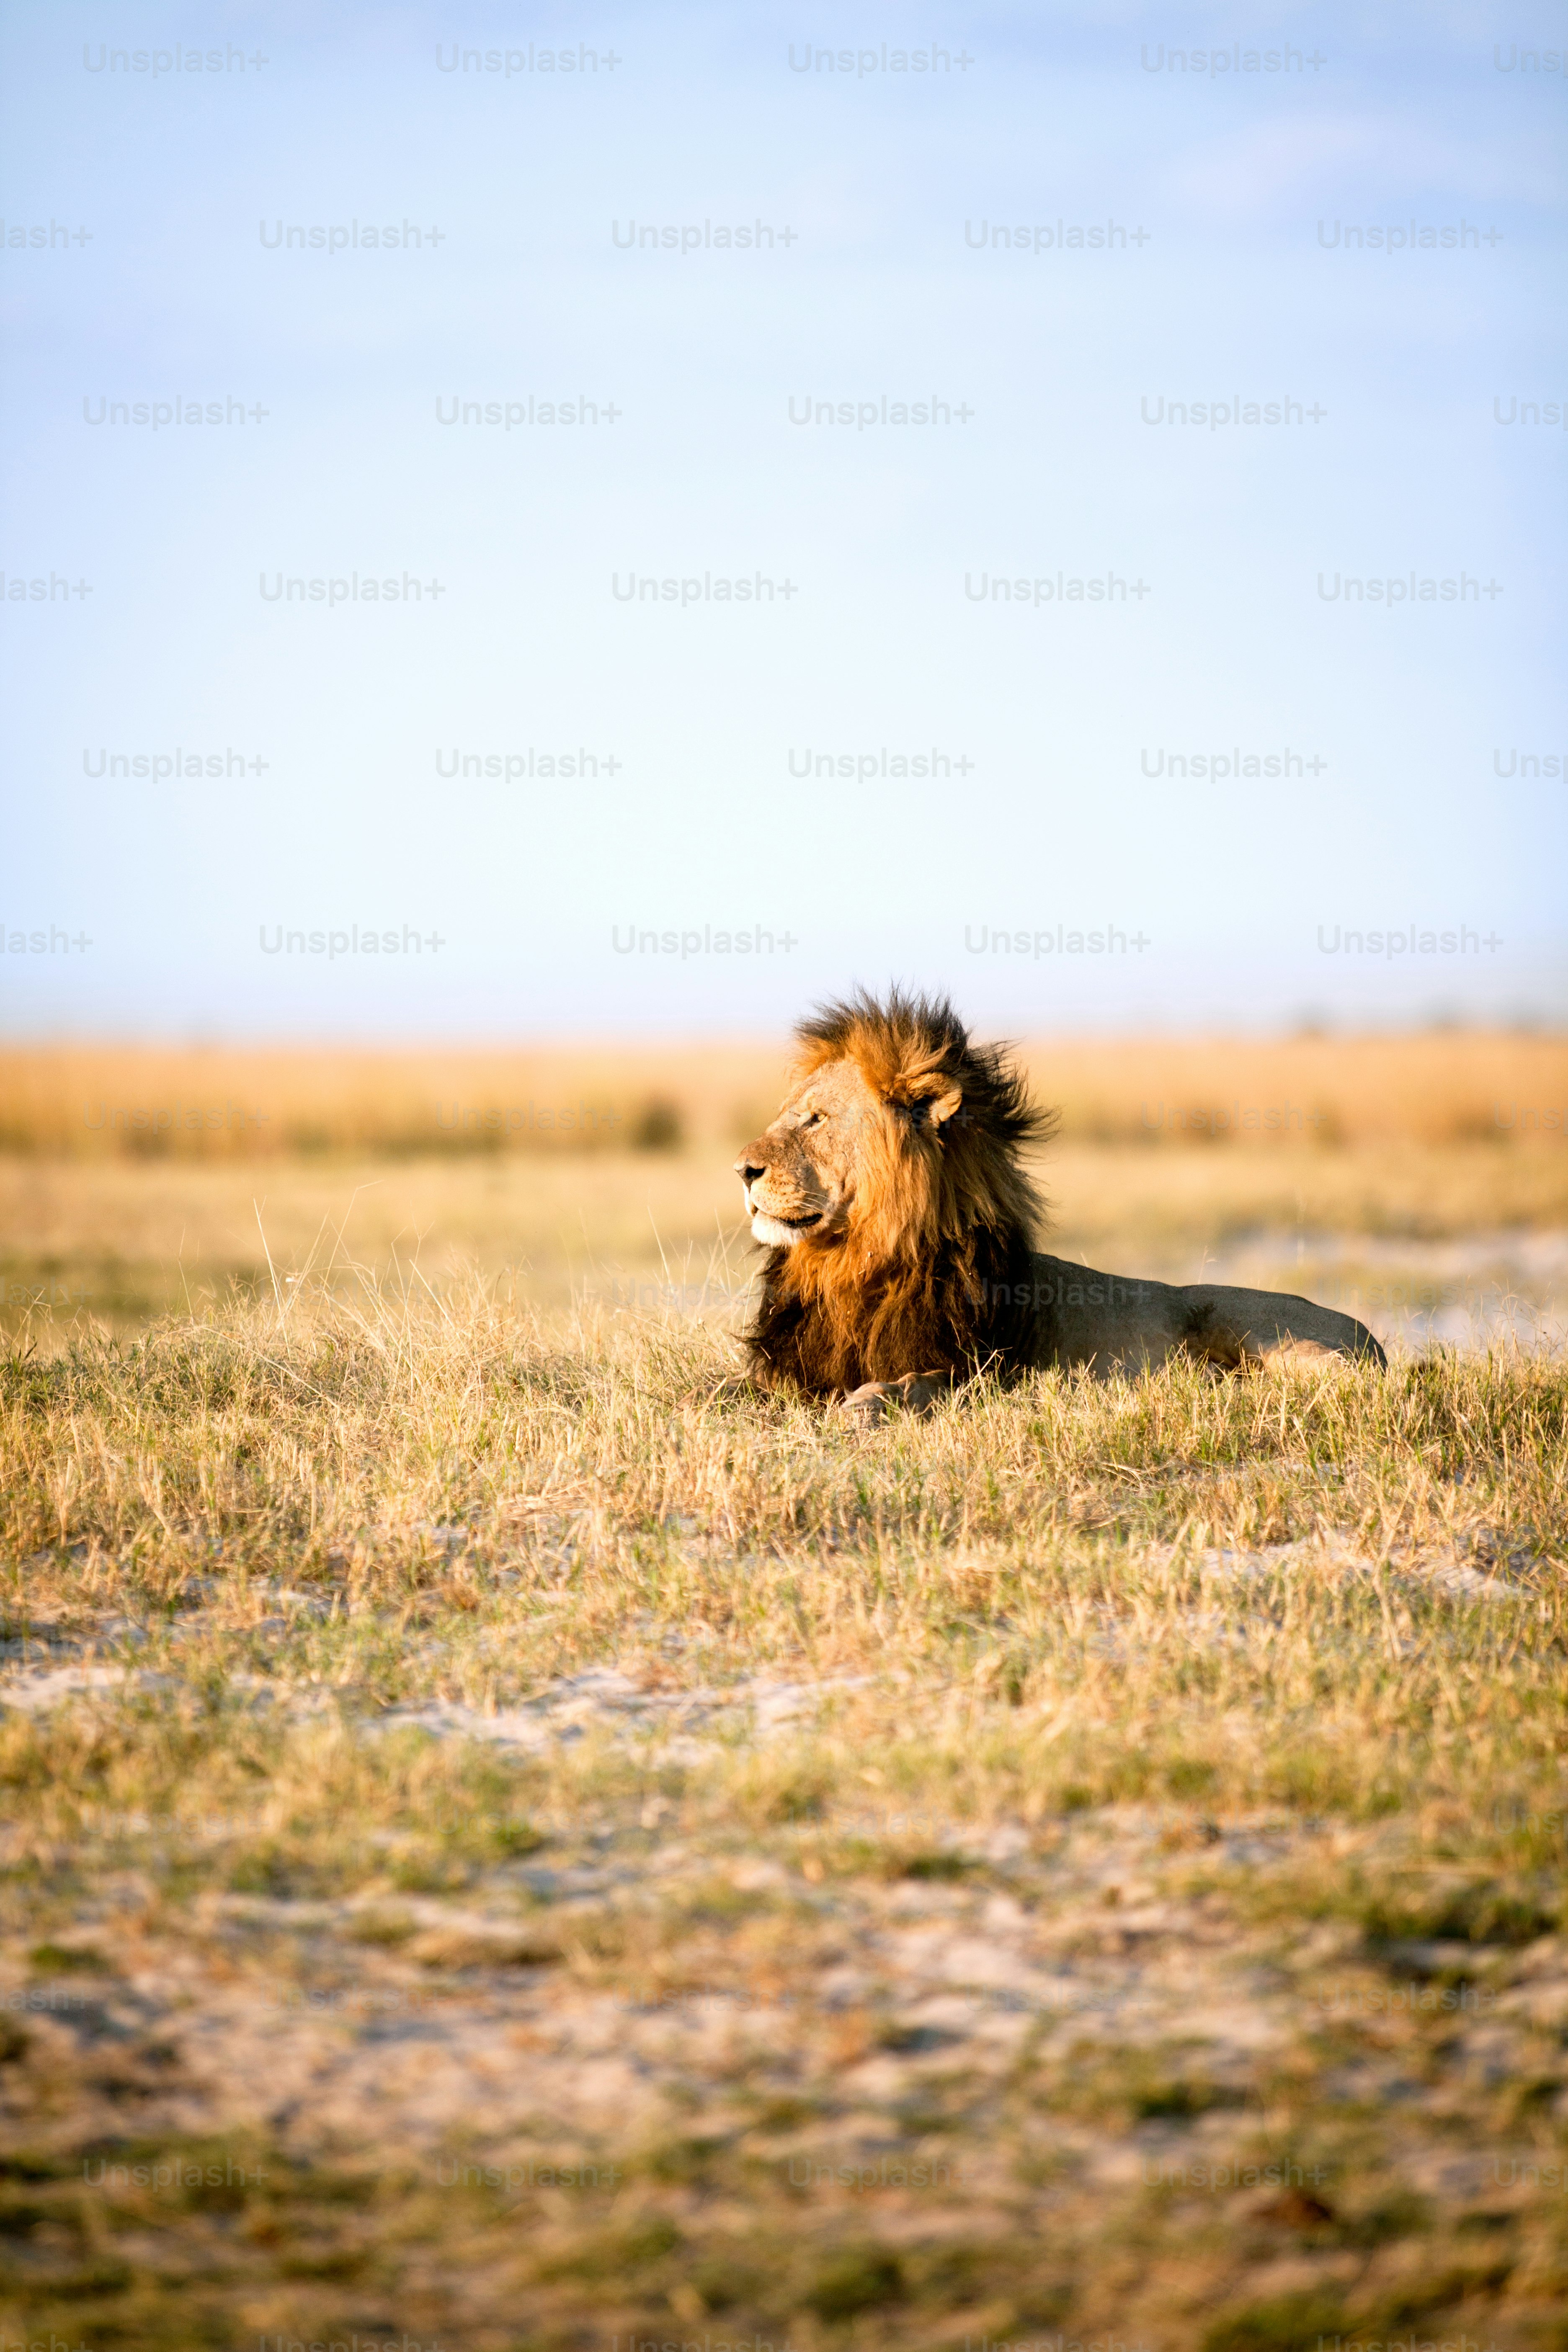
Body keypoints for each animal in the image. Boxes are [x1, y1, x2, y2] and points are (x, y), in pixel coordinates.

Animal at [733, 989, 1385, 1416]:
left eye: (816, 1119)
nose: (742, 1170)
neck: (852, 1262)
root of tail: (1372, 1337)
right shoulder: (786, 1367)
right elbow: (726, 1388)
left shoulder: (988, 1371)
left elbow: (920, 1382)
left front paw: (867, 1403)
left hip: (1263, 1329)